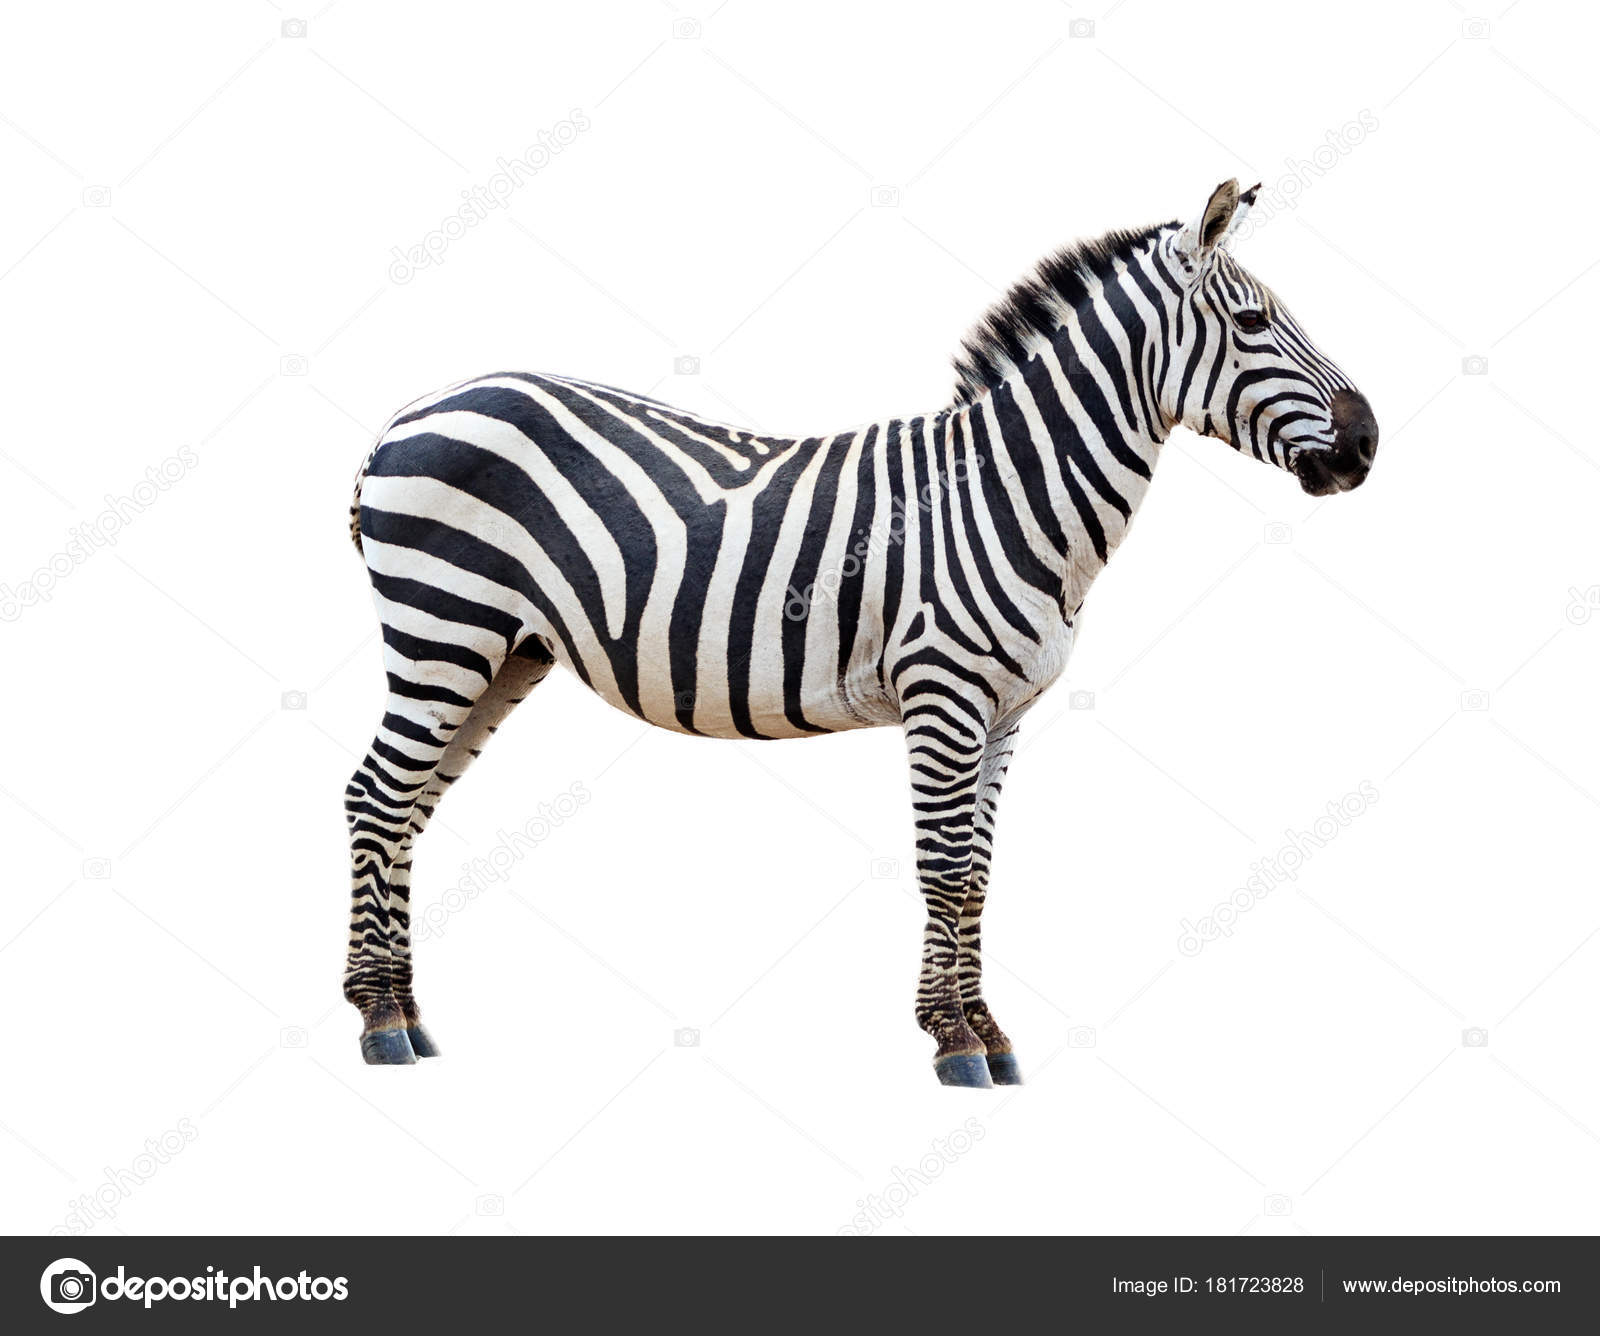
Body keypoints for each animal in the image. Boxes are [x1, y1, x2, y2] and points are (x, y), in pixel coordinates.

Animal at [344, 179, 1378, 1086]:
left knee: (410, 809)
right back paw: (379, 1023)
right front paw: (955, 1043)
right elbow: (946, 868)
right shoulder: (944, 697)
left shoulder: (1006, 715)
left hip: (501, 652)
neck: (1009, 494)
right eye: (1254, 325)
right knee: (374, 797)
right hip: (442, 627)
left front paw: (985, 1031)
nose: (1368, 443)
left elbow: (981, 874)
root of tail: (411, 412)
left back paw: (412, 1016)